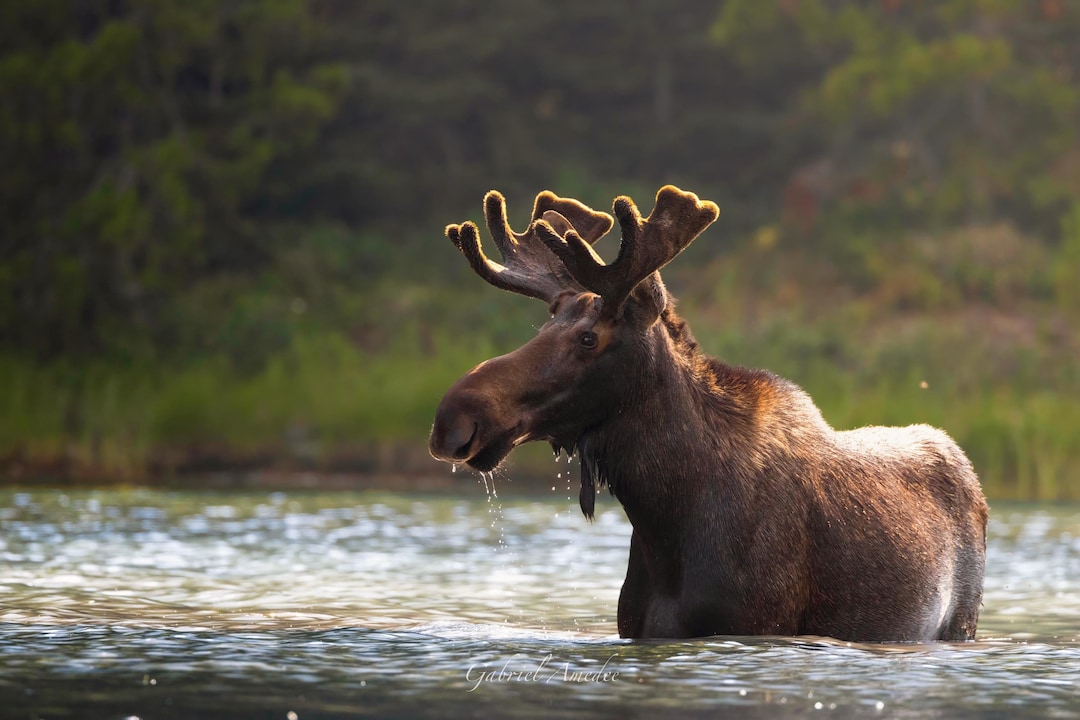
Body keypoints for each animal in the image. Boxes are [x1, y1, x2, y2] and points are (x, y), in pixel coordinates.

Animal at [428, 185, 988, 642]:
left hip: (961, 622)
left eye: (589, 337)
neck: (667, 520)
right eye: (542, 327)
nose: (453, 418)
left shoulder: (757, 624)